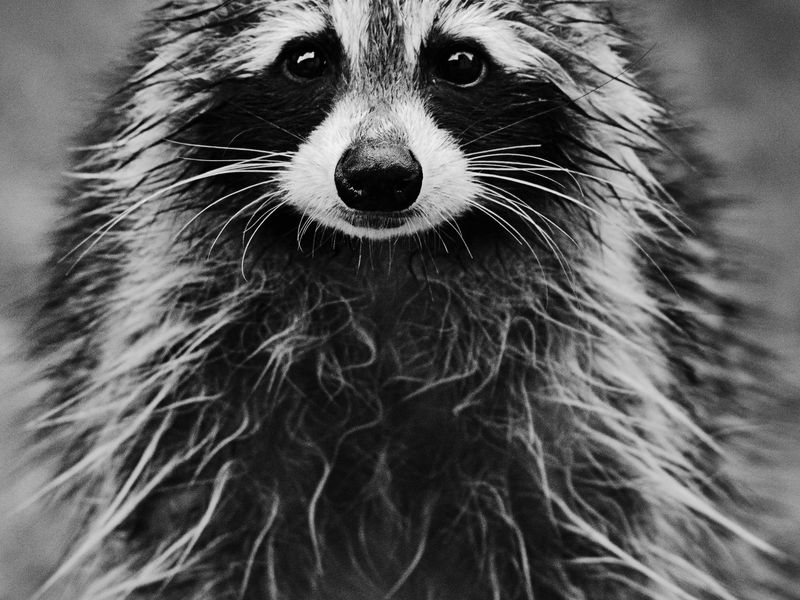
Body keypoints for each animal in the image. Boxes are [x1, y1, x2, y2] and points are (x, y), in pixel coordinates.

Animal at [29, 1, 792, 599]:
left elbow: (586, 546)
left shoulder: (591, 405)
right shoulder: (183, 385)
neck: (384, 261)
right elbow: (194, 540)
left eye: (460, 61)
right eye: (307, 58)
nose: (379, 175)